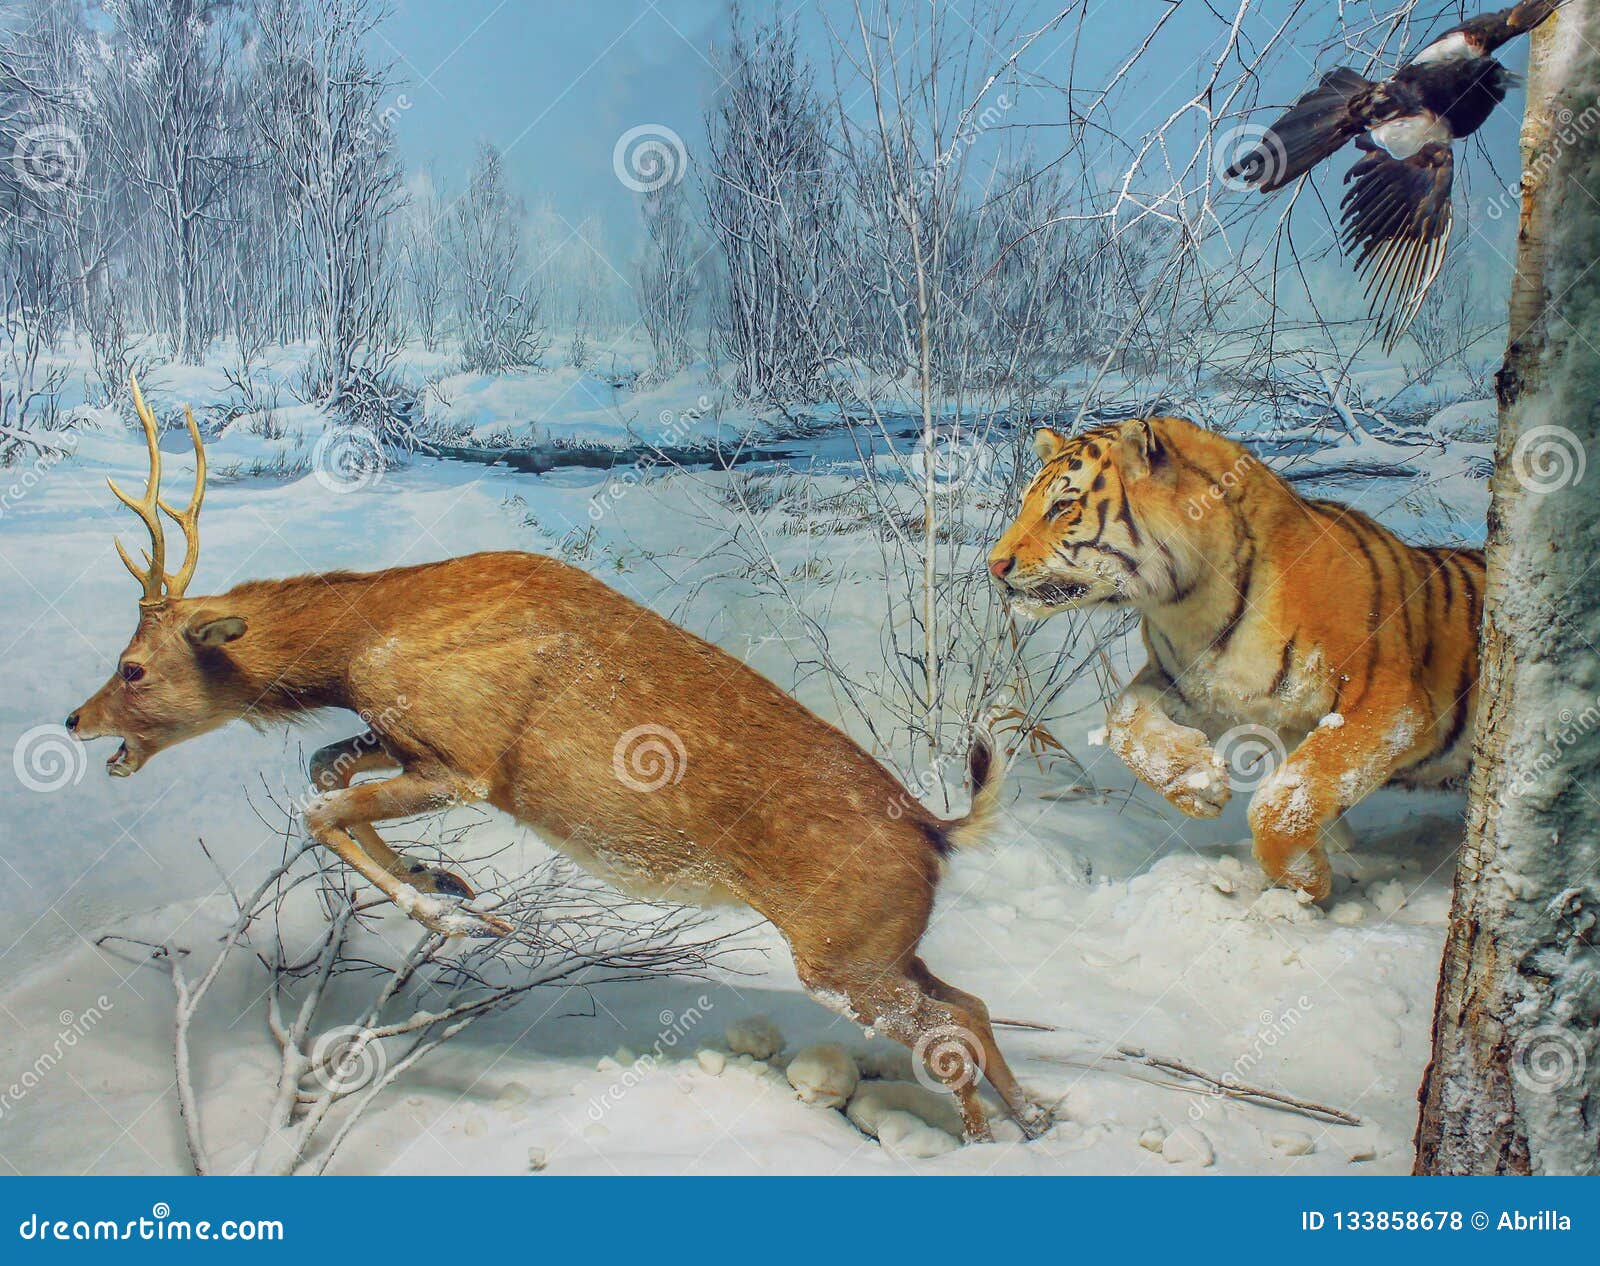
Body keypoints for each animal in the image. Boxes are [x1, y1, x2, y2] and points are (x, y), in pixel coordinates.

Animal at [64, 378, 1052, 1144]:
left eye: (133, 665)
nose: (75, 719)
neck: (365, 641)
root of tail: (936, 827)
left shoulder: (466, 759)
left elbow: (322, 804)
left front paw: (455, 911)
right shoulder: (397, 736)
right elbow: (326, 770)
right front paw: (447, 881)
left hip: (841, 955)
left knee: (946, 1031)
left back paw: (984, 1138)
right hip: (881, 946)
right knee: (969, 1005)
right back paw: (1036, 1119)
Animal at [987, 414, 1484, 901]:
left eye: (1061, 507)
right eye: (1027, 503)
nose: (994, 566)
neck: (1187, 603)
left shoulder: (1388, 702)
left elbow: (1289, 792)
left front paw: (1306, 880)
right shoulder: (1190, 684)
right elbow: (1122, 719)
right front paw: (1196, 781)